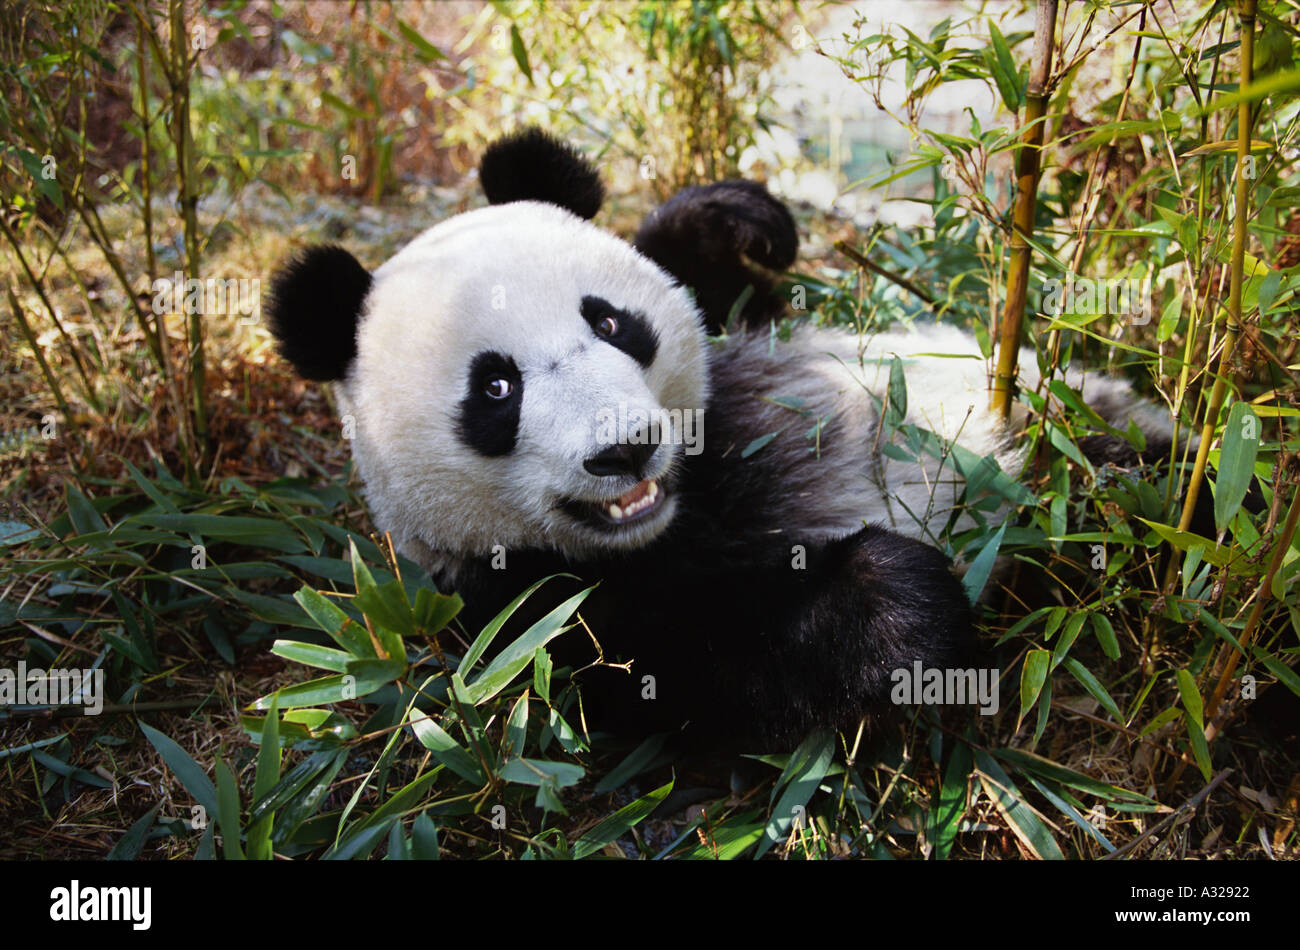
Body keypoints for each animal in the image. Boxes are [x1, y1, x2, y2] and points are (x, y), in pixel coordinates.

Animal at [267, 128, 1172, 752]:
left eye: (610, 323)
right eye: (496, 389)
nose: (626, 448)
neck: (688, 498)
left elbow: (701, 273)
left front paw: (741, 218)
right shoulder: (522, 609)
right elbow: (701, 660)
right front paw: (896, 594)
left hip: (1090, 431)